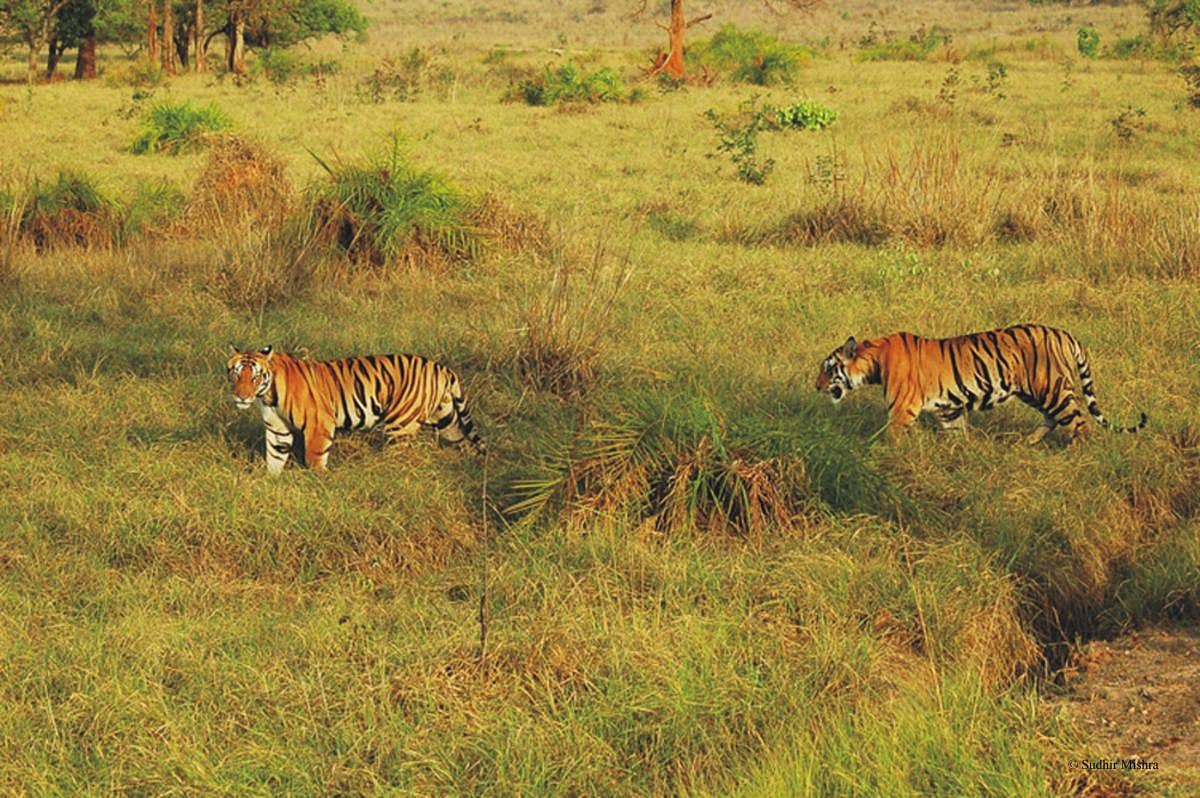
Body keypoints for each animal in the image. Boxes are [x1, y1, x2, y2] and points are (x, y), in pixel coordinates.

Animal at [227, 346, 485, 473]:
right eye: (237, 374)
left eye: (255, 376)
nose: (241, 396)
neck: (268, 394)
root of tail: (441, 367)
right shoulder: (278, 430)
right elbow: (275, 458)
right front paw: (271, 482)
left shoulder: (319, 424)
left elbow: (314, 458)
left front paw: (317, 482)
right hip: (447, 420)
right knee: (465, 443)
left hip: (400, 426)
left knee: (398, 459)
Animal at [814, 324, 1147, 443]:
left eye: (828, 369)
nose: (816, 387)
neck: (875, 359)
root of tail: (1065, 334)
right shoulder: (948, 409)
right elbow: (957, 433)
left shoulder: (902, 409)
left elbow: (890, 436)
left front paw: (881, 455)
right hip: (1035, 391)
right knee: (1053, 418)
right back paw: (1028, 442)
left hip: (1051, 388)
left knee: (1079, 422)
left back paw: (1076, 448)